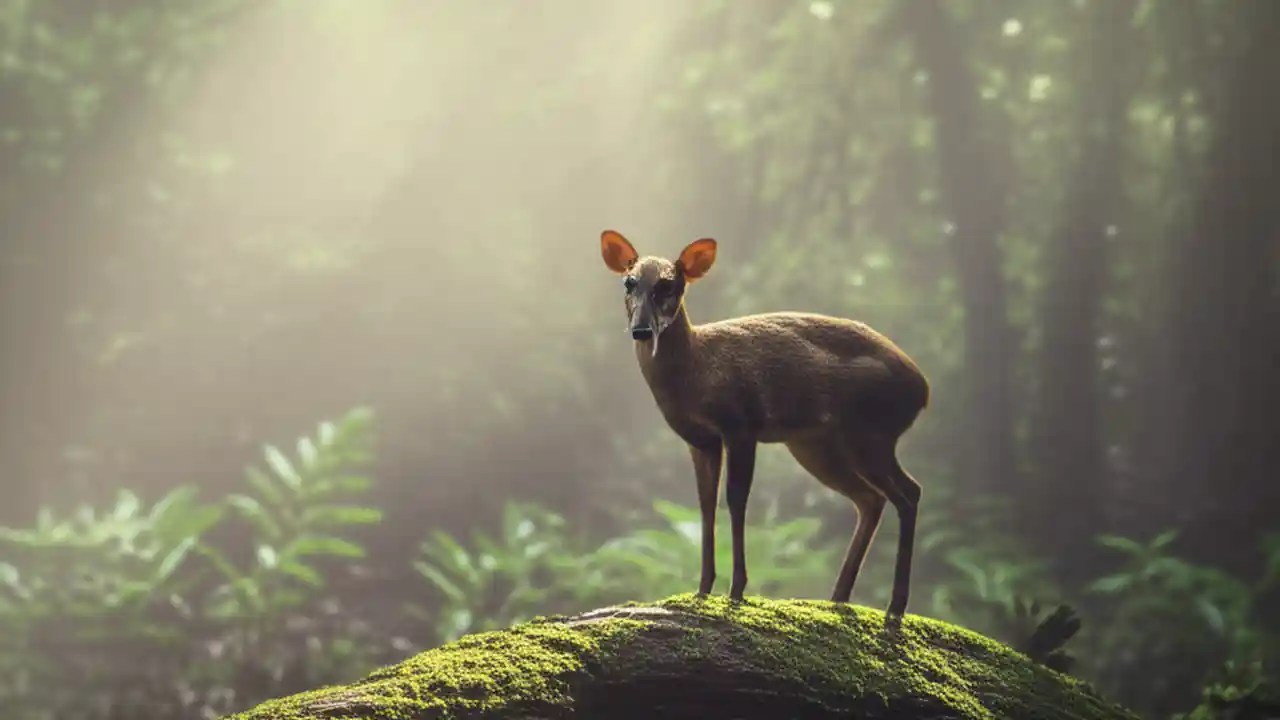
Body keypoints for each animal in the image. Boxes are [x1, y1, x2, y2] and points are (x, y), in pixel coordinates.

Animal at [598, 229, 930, 627]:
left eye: (670, 285)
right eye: (629, 282)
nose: (642, 330)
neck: (696, 370)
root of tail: (923, 390)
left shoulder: (741, 425)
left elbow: (736, 499)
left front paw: (736, 590)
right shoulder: (700, 439)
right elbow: (705, 503)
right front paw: (702, 589)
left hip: (869, 432)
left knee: (908, 492)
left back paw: (894, 607)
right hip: (817, 445)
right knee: (871, 498)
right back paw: (837, 598)